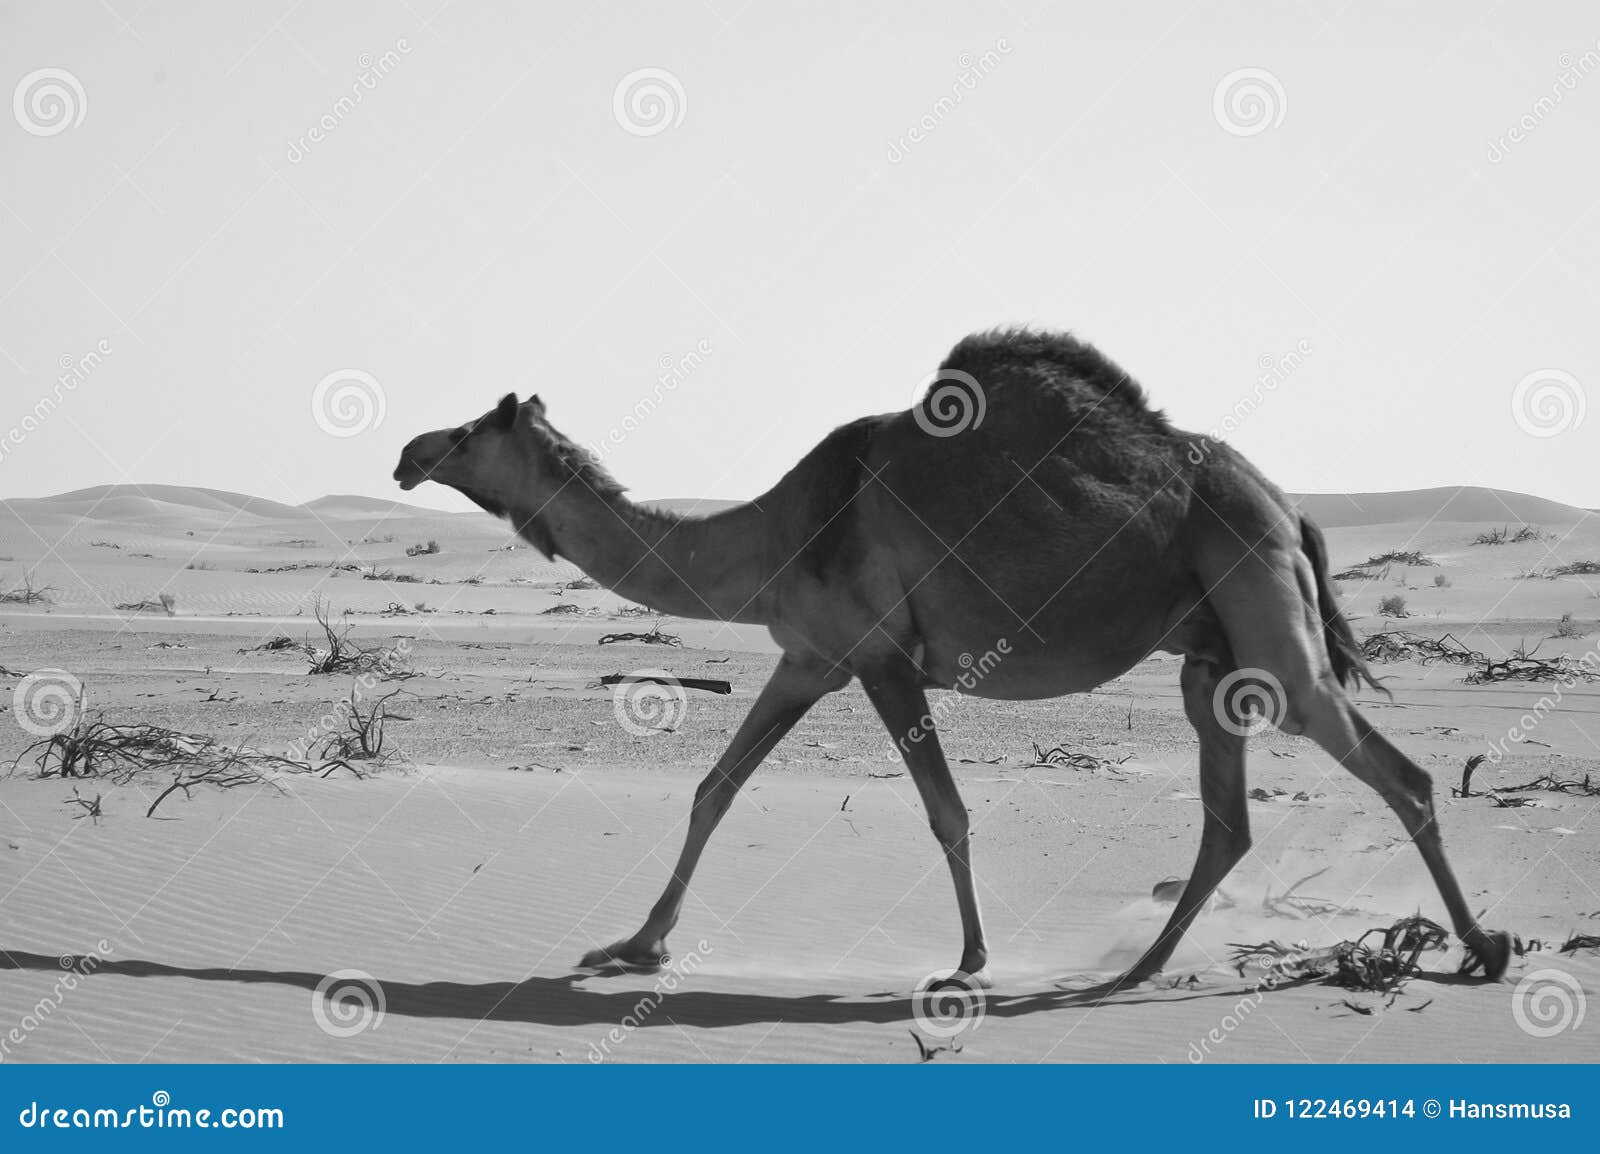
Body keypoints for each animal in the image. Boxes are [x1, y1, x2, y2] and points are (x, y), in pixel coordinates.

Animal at [393, 328, 1512, 989]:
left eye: (473, 426)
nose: (408, 450)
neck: (776, 529)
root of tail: (1288, 507)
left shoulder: (882, 658)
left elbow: (946, 809)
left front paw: (971, 959)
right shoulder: (810, 656)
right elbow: (714, 787)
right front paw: (633, 944)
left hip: (1264, 612)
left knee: (1398, 772)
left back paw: (1483, 947)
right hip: (1210, 654)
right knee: (1228, 820)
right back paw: (1136, 965)